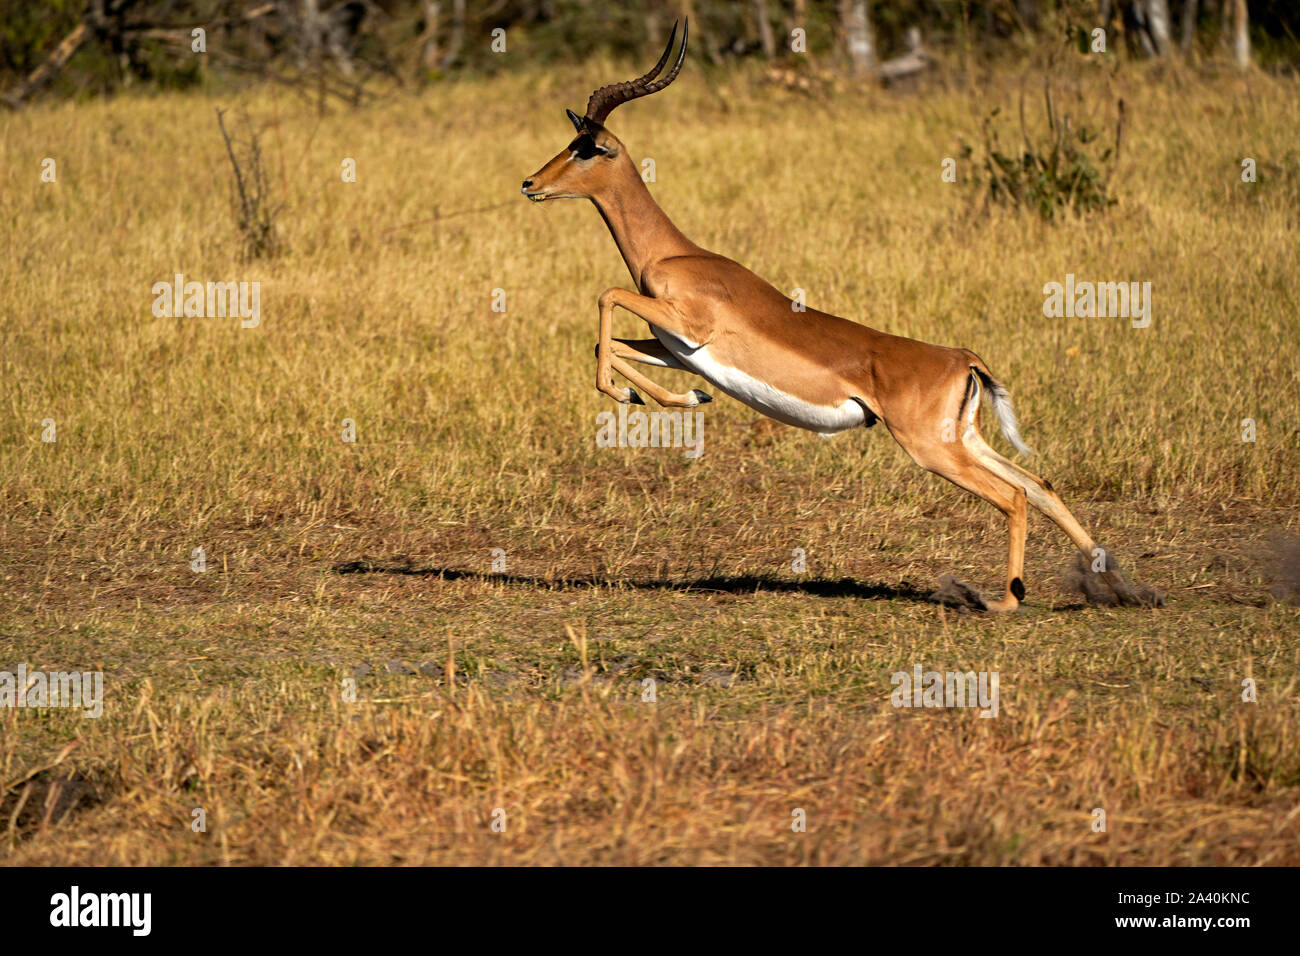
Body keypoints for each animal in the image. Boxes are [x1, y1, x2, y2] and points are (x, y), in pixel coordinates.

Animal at [521, 21, 1156, 611]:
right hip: (964, 438)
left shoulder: (689, 326)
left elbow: (605, 298)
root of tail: (961, 359)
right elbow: (609, 347)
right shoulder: (679, 349)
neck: (672, 253)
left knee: (1016, 497)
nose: (530, 183)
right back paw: (1122, 589)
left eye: (584, 148)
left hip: (931, 448)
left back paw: (1001, 600)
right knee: (1041, 484)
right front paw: (669, 398)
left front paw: (638, 396)